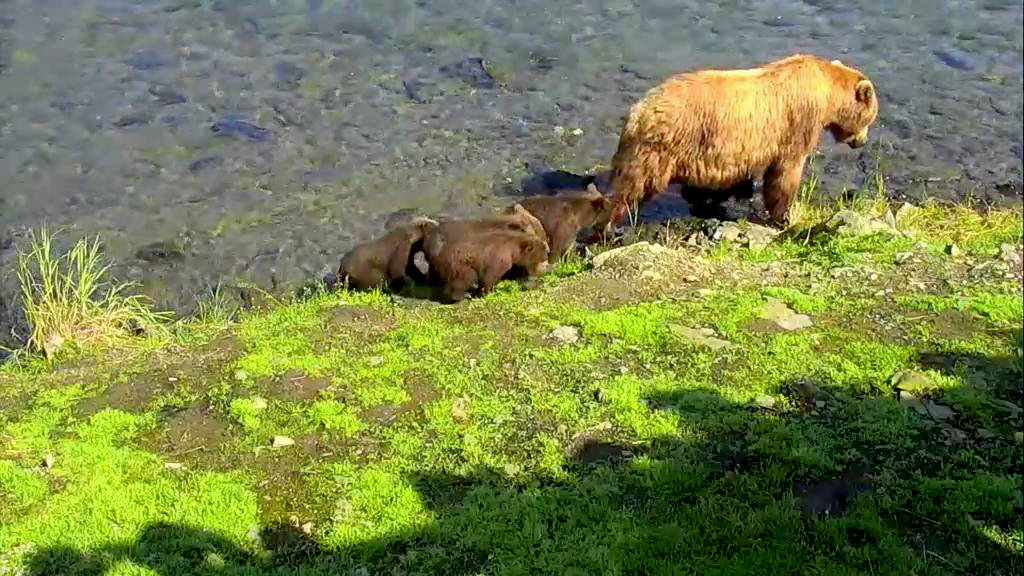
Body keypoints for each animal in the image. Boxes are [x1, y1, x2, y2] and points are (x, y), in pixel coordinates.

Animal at [600, 54, 879, 231]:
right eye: (872, 117)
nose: (862, 141)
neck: (826, 93)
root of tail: (638, 111)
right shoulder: (798, 123)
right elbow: (785, 172)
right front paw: (784, 215)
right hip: (658, 149)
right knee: (629, 187)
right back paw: (608, 224)